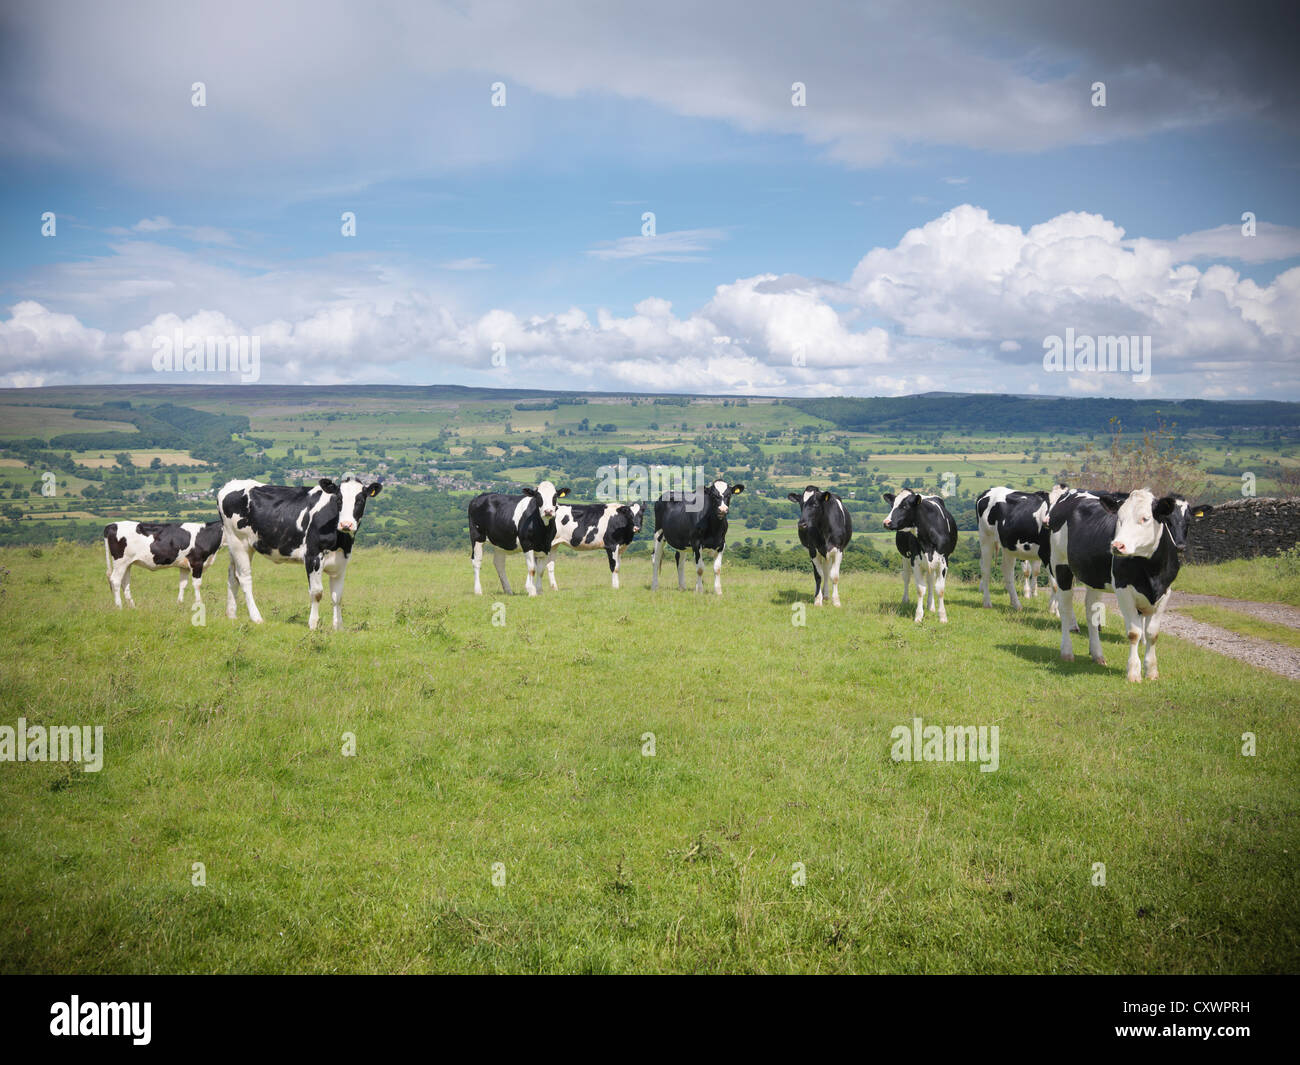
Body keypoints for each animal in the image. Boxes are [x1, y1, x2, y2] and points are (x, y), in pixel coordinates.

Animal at [218, 477, 382, 630]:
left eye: (361, 500)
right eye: (339, 499)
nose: (346, 524)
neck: (340, 538)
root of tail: (230, 484)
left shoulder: (342, 561)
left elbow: (337, 596)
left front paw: (338, 627)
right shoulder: (312, 556)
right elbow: (317, 592)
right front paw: (313, 624)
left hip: (235, 545)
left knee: (232, 575)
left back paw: (231, 614)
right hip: (239, 542)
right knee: (244, 578)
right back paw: (256, 618)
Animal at [882, 489, 958, 623]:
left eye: (905, 506)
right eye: (892, 505)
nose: (886, 522)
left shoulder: (943, 562)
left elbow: (940, 589)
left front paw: (942, 616)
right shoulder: (915, 561)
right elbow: (920, 589)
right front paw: (918, 616)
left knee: (930, 581)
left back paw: (931, 606)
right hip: (905, 557)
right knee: (906, 578)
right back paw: (905, 601)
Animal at [975, 484, 1070, 613]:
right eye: (1050, 504)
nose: (1047, 522)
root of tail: (988, 491)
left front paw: (1054, 609)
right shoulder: (1047, 555)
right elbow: (1055, 585)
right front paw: (1055, 611)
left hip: (1008, 546)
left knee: (1007, 571)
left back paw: (1016, 604)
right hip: (986, 538)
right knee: (986, 569)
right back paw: (987, 602)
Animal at [1049, 488, 1209, 682]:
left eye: (1145, 518)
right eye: (1119, 518)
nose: (1117, 545)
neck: (1152, 570)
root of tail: (1071, 492)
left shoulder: (1165, 593)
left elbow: (1152, 633)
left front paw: (1151, 671)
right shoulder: (1123, 590)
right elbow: (1134, 633)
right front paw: (1133, 672)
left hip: (1093, 577)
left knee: (1091, 611)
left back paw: (1097, 655)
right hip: (1060, 565)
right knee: (1065, 609)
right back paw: (1067, 652)